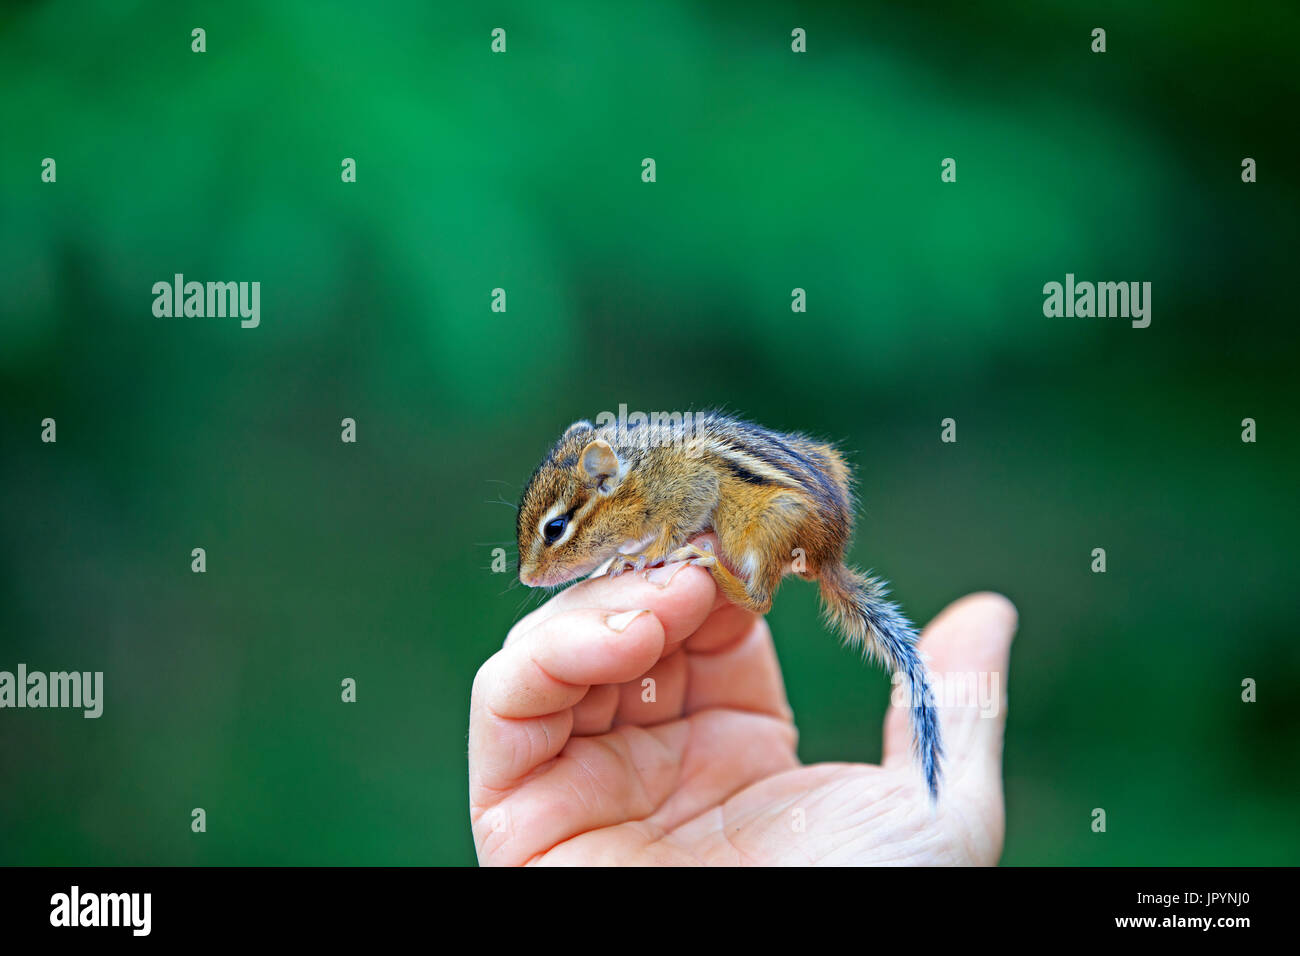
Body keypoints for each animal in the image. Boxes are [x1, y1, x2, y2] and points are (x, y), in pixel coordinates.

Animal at [515, 411, 943, 799]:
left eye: (554, 528)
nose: (526, 578)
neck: (636, 474)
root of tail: (829, 558)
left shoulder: (691, 488)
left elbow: (674, 527)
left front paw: (641, 555)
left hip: (769, 526)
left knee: (760, 599)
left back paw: (711, 563)